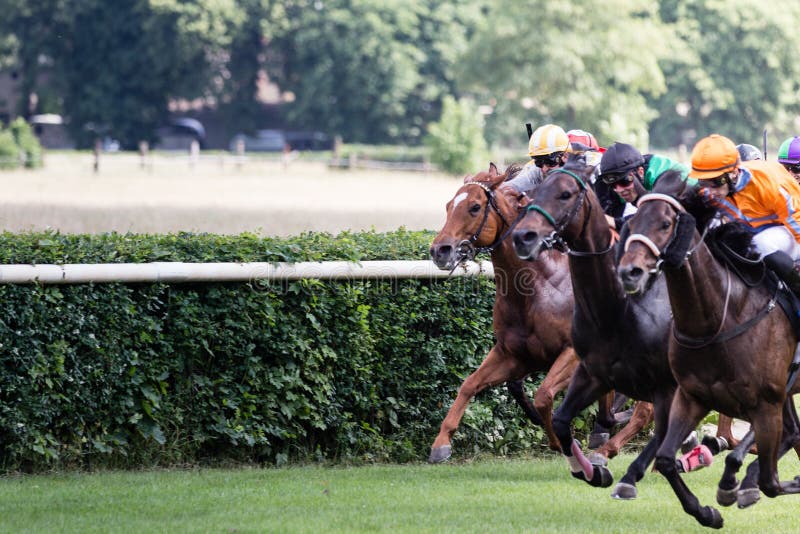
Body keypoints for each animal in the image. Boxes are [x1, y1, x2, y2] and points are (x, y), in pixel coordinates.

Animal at [428, 162, 654, 463]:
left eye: (475, 207)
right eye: (448, 205)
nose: (439, 250)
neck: (538, 286)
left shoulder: (572, 353)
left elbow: (544, 395)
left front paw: (562, 442)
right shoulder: (514, 355)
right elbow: (469, 384)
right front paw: (441, 444)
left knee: (646, 411)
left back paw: (607, 449)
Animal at [510, 158, 732, 500]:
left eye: (565, 194)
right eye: (535, 191)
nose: (523, 236)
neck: (617, 311)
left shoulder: (667, 384)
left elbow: (656, 426)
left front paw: (626, 473)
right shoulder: (593, 373)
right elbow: (561, 420)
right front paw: (589, 471)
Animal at [616, 176, 800, 528]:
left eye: (665, 223)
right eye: (631, 222)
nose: (629, 272)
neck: (716, 322)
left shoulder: (766, 402)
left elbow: (761, 474)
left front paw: (733, 485)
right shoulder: (692, 396)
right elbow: (666, 460)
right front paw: (707, 513)